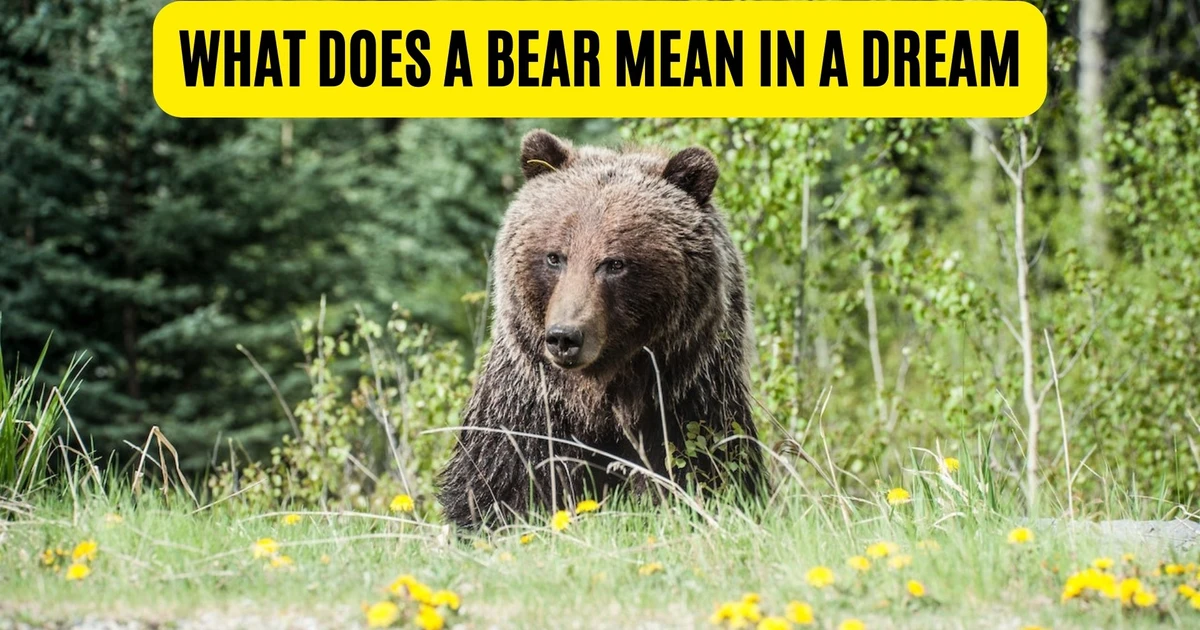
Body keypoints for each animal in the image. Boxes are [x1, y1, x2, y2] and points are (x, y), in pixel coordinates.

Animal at [438, 129, 763, 530]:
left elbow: (704, 472)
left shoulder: (686, 402)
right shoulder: (529, 409)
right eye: (554, 257)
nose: (565, 337)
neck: (601, 397)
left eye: (614, 263)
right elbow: (500, 485)